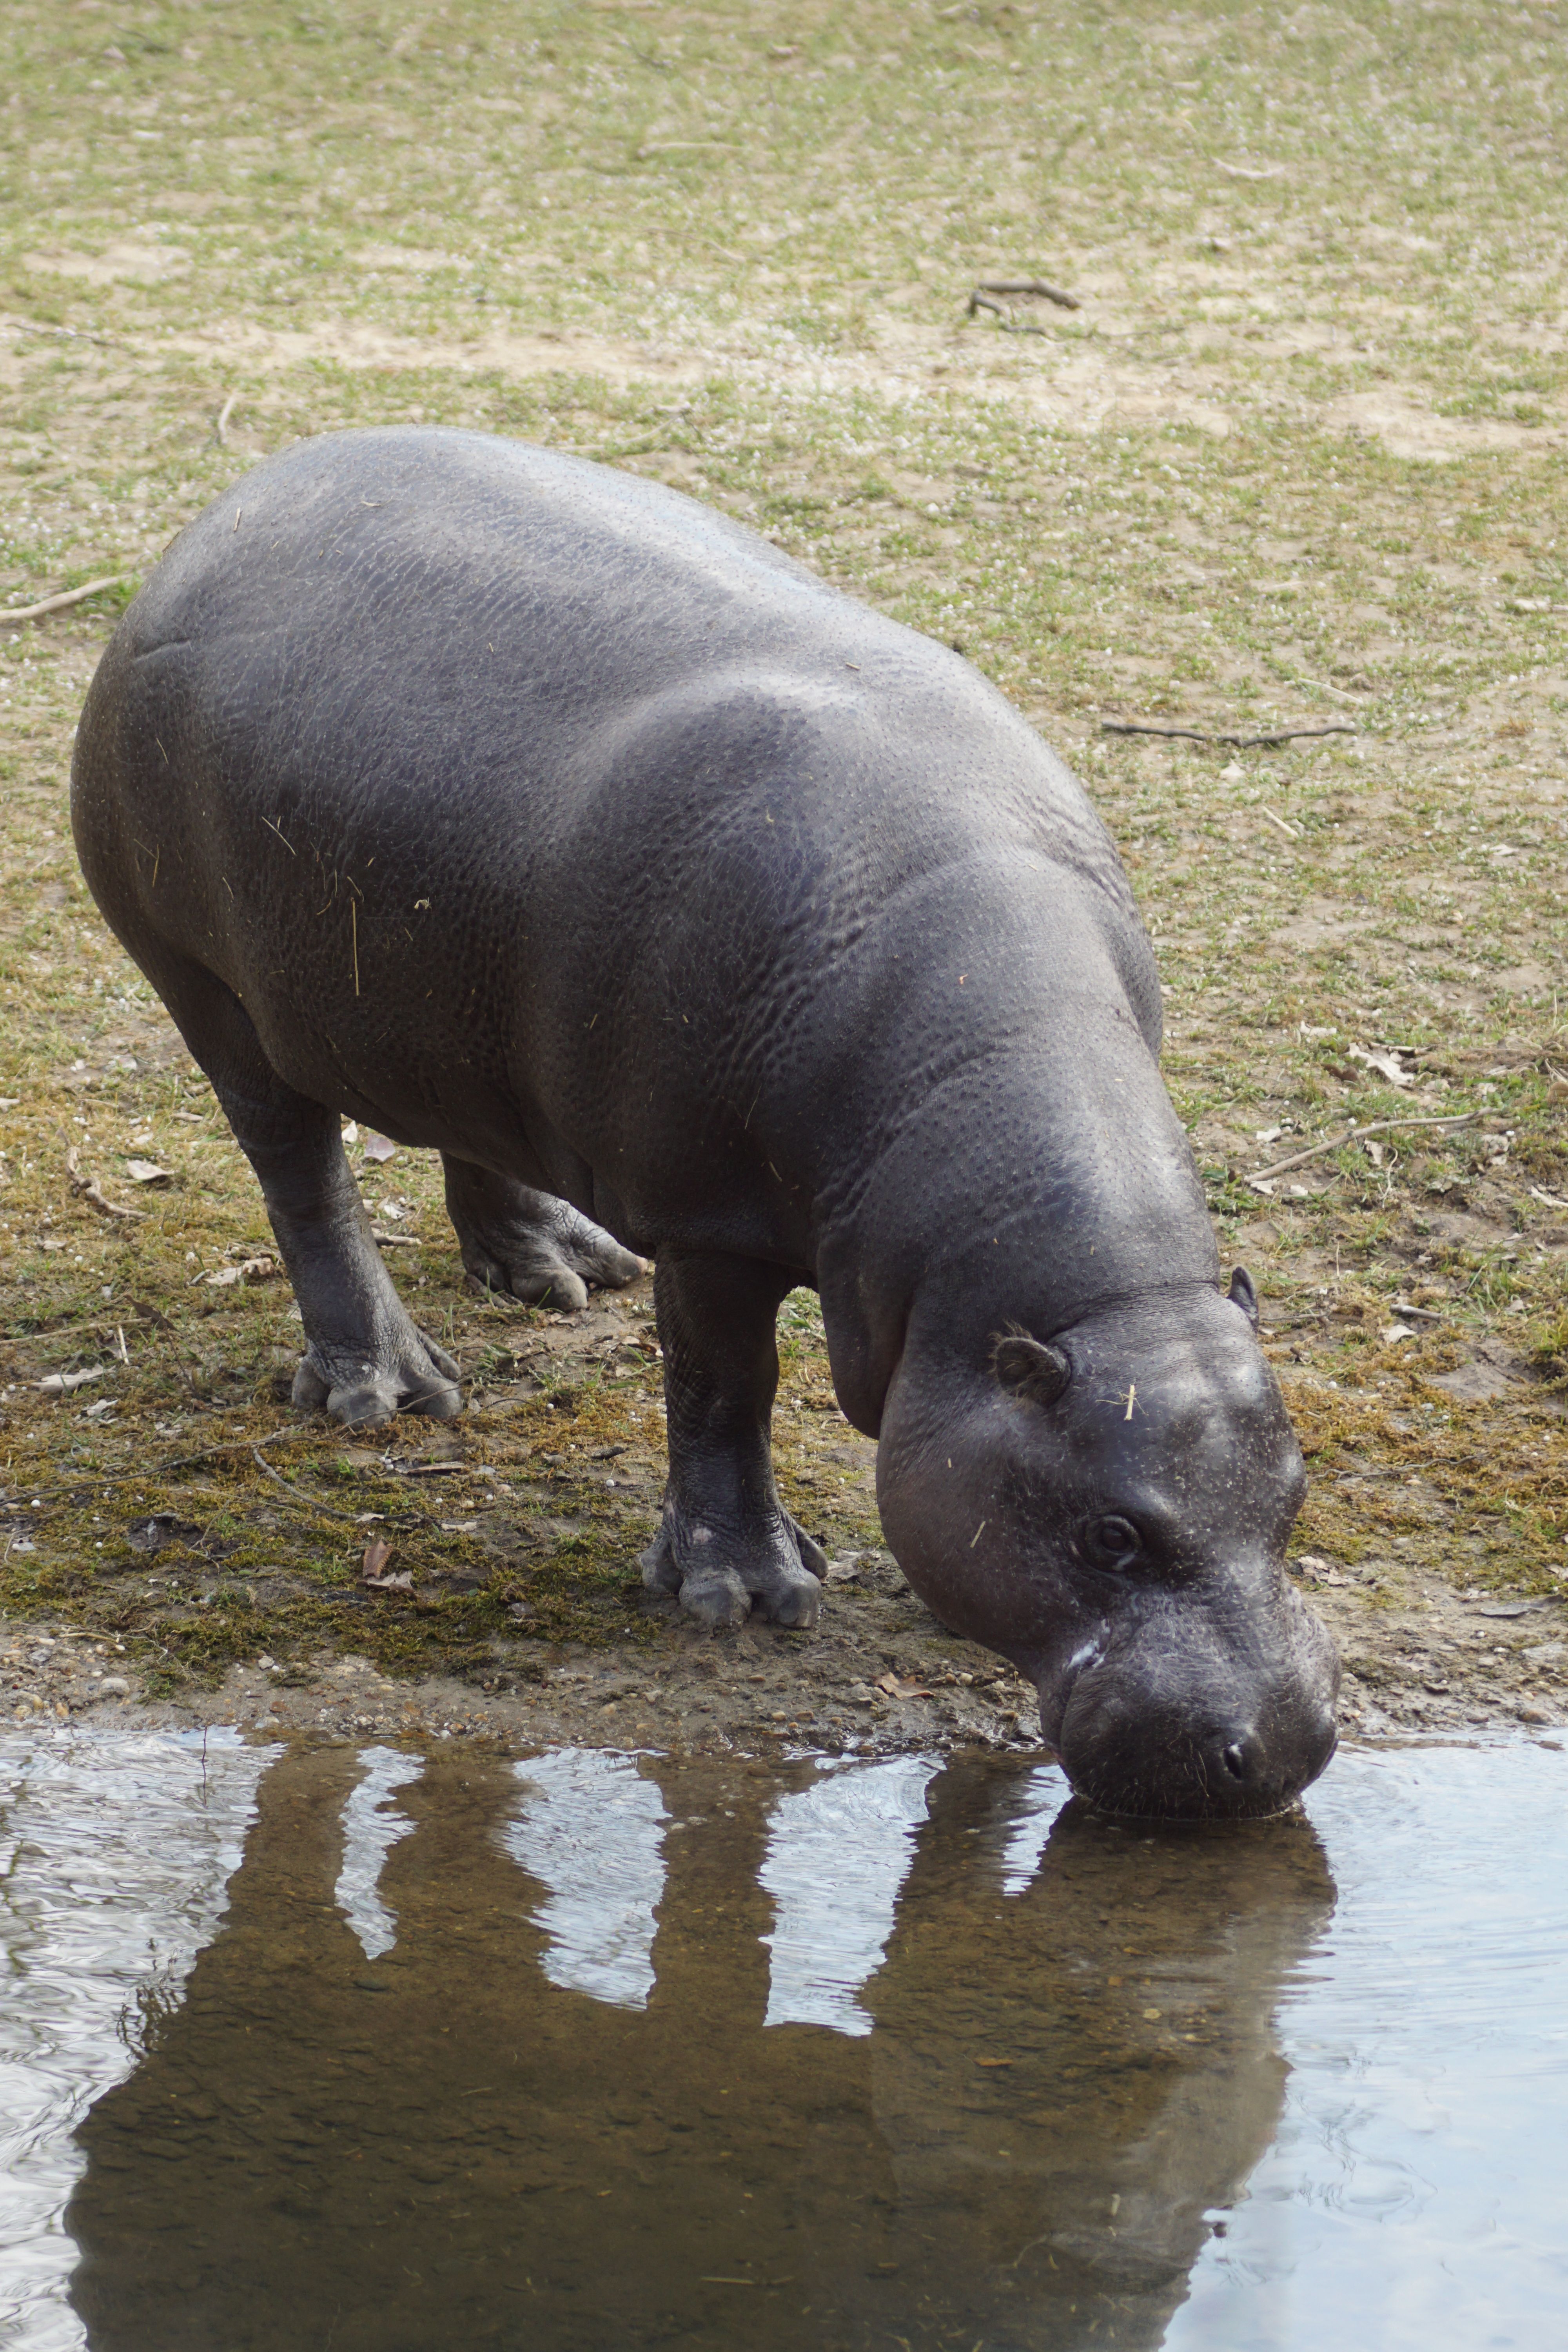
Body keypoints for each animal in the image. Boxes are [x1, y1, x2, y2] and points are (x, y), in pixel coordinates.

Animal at [71, 426, 1339, 1818]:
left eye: (1294, 1495)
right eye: (1113, 1534)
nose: (1280, 1748)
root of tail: (216, 516)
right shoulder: (708, 1220)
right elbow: (723, 1385)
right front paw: (749, 1593)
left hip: (446, 983)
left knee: (473, 1130)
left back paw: (563, 1274)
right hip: (212, 989)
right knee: (301, 1175)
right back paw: (391, 1393)